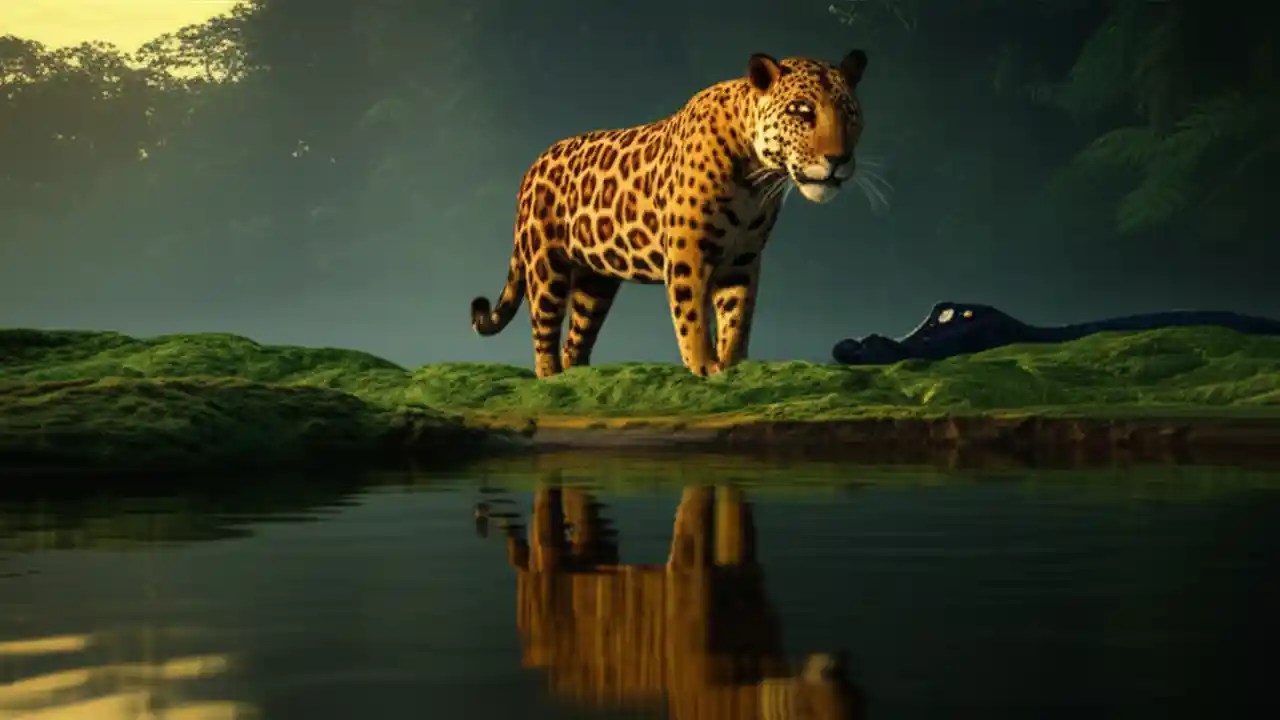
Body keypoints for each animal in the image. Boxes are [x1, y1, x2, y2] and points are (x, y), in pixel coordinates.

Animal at [470, 50, 868, 378]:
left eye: (850, 115)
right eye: (801, 112)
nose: (839, 160)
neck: (755, 178)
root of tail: (533, 167)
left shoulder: (742, 259)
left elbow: (737, 317)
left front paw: (734, 365)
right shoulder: (688, 252)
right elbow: (692, 315)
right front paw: (705, 366)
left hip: (594, 281)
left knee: (576, 337)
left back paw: (580, 377)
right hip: (545, 265)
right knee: (544, 330)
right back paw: (550, 378)